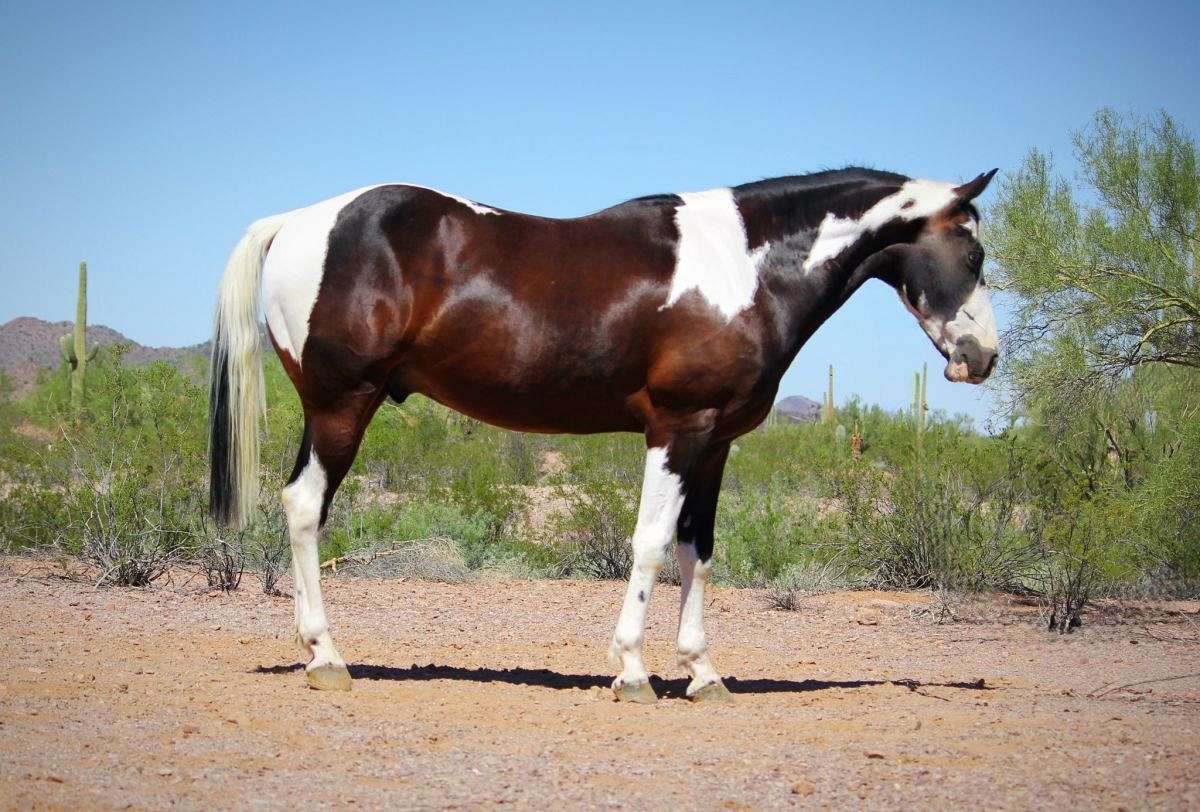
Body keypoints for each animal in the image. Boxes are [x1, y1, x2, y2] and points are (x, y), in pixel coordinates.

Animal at [208, 166, 999, 702]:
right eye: (974, 255)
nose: (983, 357)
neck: (744, 266)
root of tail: (298, 220)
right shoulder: (677, 427)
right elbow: (649, 544)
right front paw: (632, 671)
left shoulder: (715, 441)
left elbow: (698, 551)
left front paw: (703, 673)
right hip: (343, 404)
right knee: (304, 506)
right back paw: (325, 656)